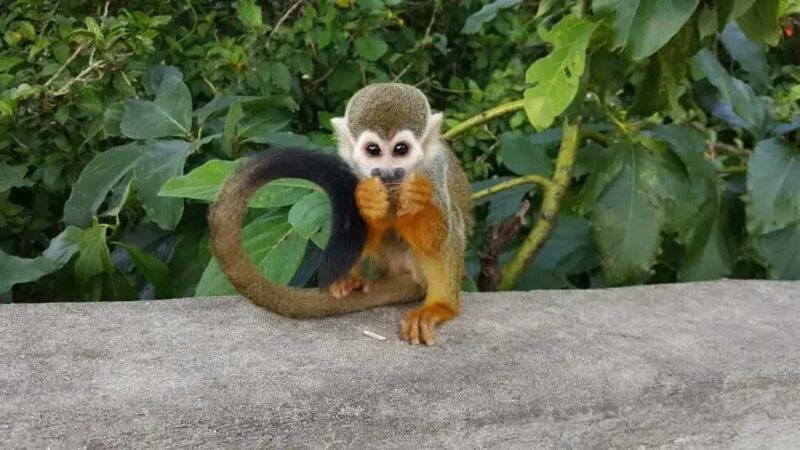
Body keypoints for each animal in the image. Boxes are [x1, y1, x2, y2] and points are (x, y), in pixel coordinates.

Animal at [209, 83, 473, 345]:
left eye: (401, 149)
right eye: (373, 150)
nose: (388, 173)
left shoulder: (433, 168)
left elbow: (436, 239)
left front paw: (416, 198)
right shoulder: (350, 172)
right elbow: (354, 231)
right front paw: (370, 202)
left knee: (452, 224)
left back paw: (441, 306)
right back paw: (350, 280)